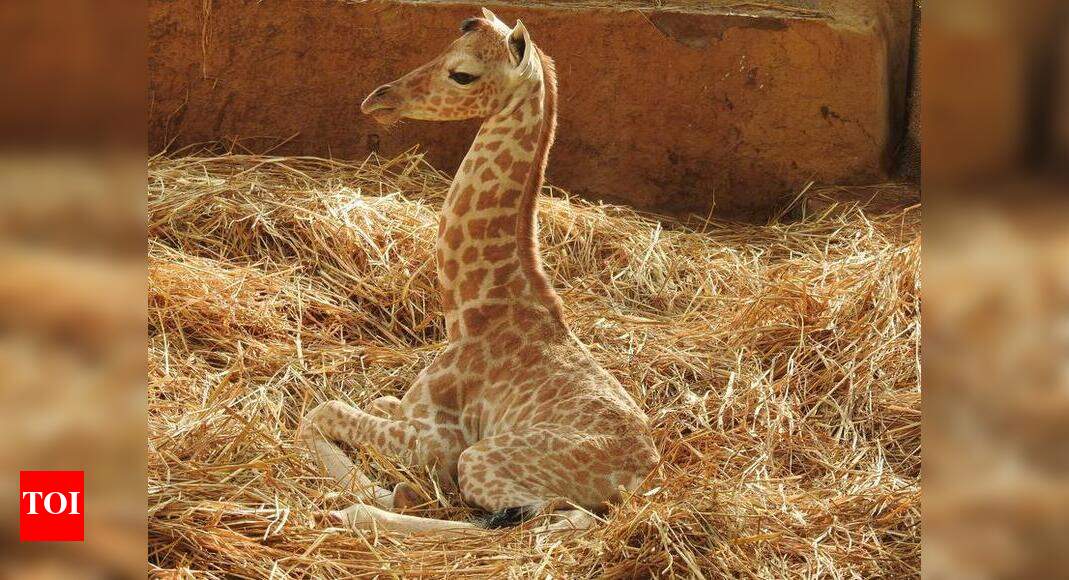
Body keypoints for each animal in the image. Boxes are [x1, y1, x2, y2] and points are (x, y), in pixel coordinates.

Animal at [299, 8, 660, 535]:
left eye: (462, 74)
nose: (377, 98)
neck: (471, 308)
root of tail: (644, 474)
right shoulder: (409, 412)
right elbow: (368, 405)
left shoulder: (438, 441)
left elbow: (321, 410)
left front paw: (372, 490)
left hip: (483, 460)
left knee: (526, 524)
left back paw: (366, 508)